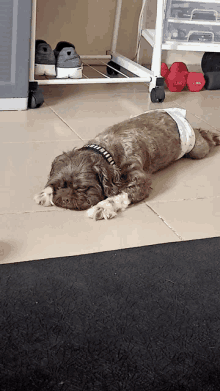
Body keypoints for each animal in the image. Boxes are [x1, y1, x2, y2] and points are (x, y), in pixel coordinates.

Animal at [34, 108, 220, 220]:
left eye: (83, 188)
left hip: (197, 149)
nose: (65, 198)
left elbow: (120, 195)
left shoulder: (140, 181)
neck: (106, 150)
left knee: (204, 137)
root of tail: (180, 114)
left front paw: (103, 207)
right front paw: (46, 193)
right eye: (58, 185)